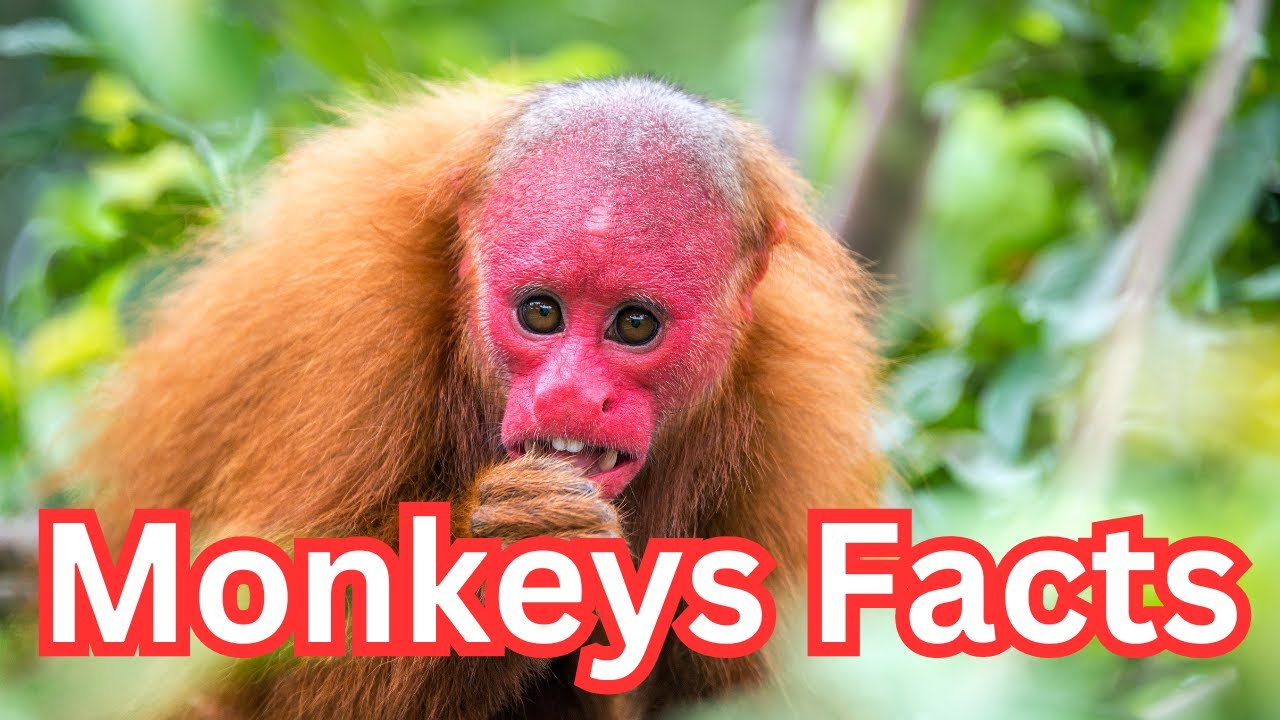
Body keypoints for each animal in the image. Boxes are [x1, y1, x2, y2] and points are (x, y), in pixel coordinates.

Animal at [75, 77, 883, 719]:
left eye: (635, 324)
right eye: (540, 312)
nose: (569, 393)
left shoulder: (788, 420)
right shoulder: (352, 336)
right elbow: (250, 663)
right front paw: (512, 569)